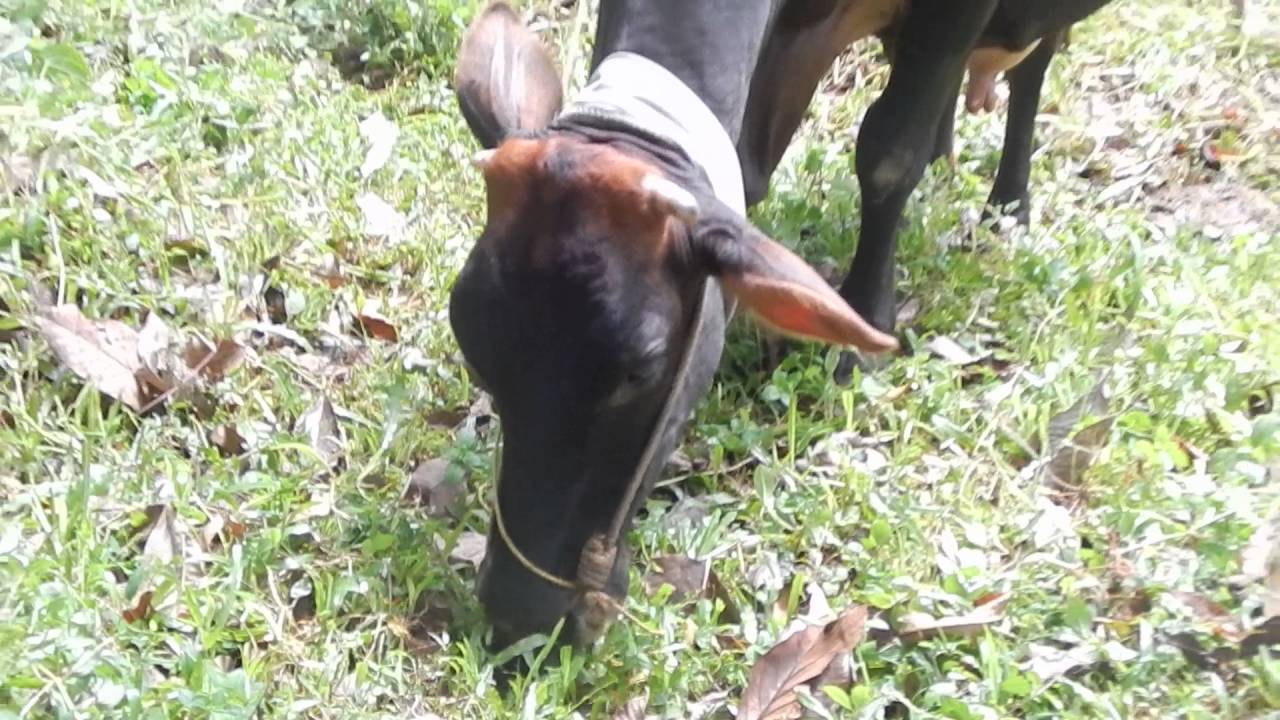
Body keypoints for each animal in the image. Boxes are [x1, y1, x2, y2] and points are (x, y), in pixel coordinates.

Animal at [448, 0, 1109, 652]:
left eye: (641, 369)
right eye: (476, 354)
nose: (518, 613)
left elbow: (889, 153)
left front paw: (867, 322)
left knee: (1036, 63)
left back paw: (1009, 204)